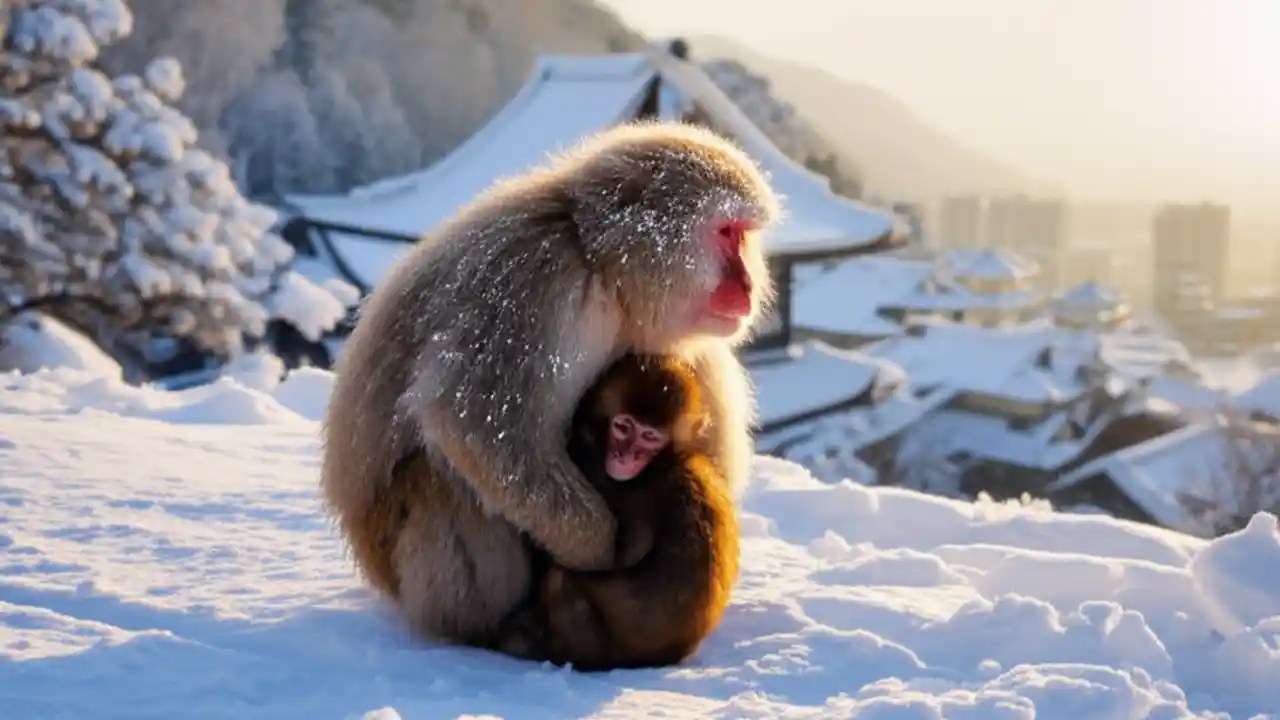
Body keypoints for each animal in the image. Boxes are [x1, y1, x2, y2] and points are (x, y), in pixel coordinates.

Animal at [492, 353, 740, 671]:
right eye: (623, 427)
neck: (666, 461)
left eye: (649, 437)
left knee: (560, 581)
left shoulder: (638, 495)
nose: (624, 457)